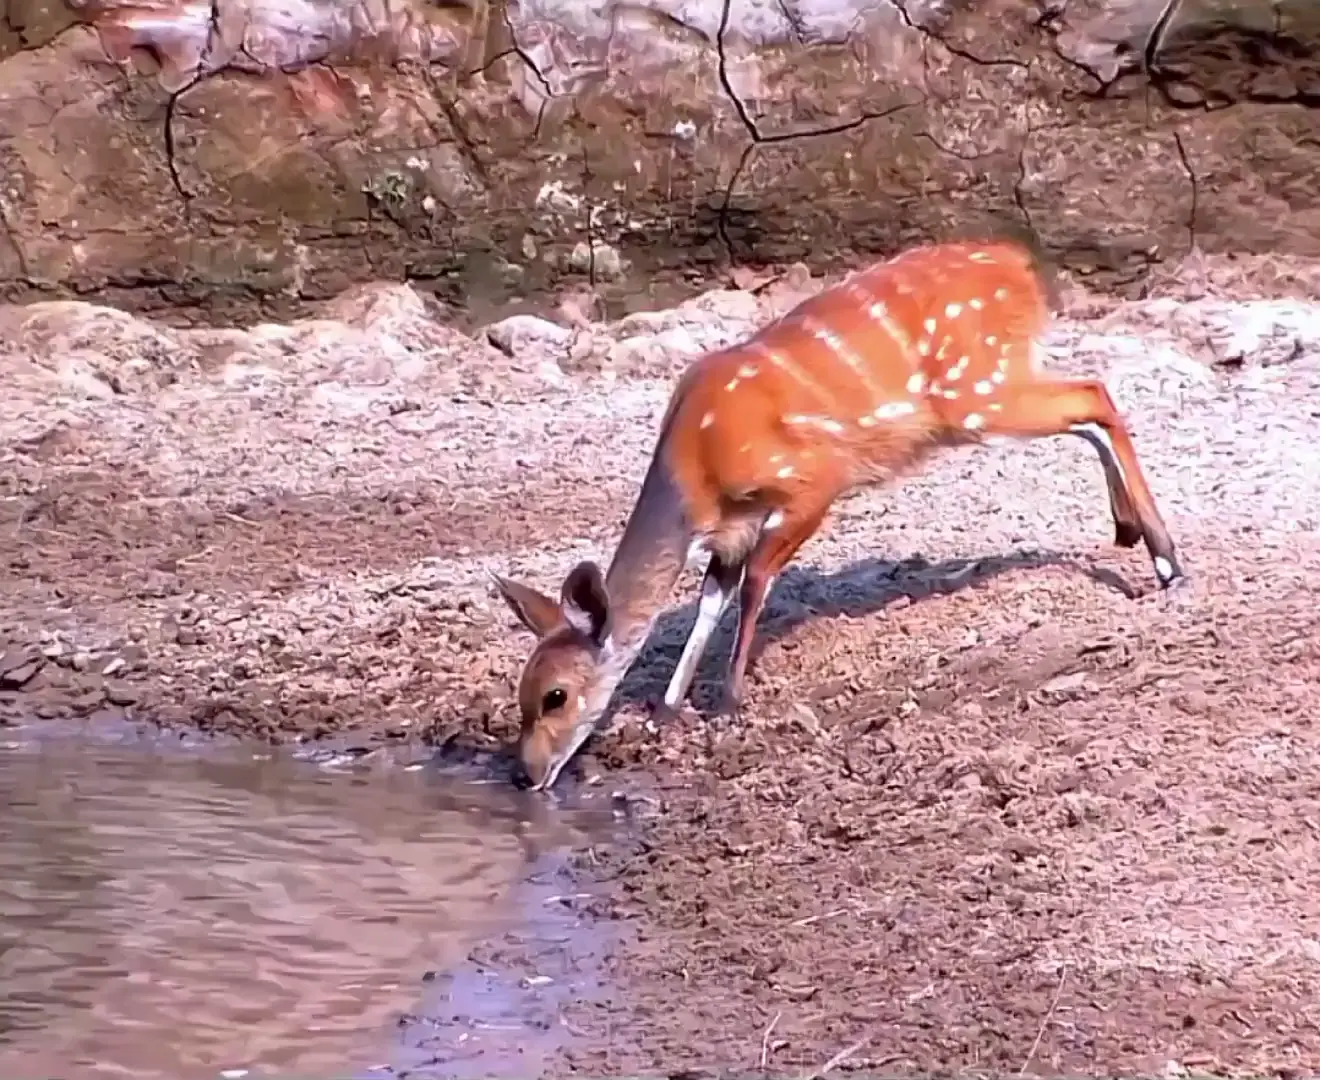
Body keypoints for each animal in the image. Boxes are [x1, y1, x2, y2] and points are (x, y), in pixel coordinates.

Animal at [490, 238, 1185, 791]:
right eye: (520, 695)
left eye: (555, 696)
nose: (526, 776)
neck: (696, 469)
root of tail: (1018, 265)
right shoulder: (731, 533)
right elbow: (713, 598)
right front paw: (671, 706)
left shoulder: (812, 481)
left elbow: (756, 582)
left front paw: (730, 699)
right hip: (990, 391)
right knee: (1087, 405)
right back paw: (1131, 534)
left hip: (976, 394)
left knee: (1093, 392)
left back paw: (1167, 562)